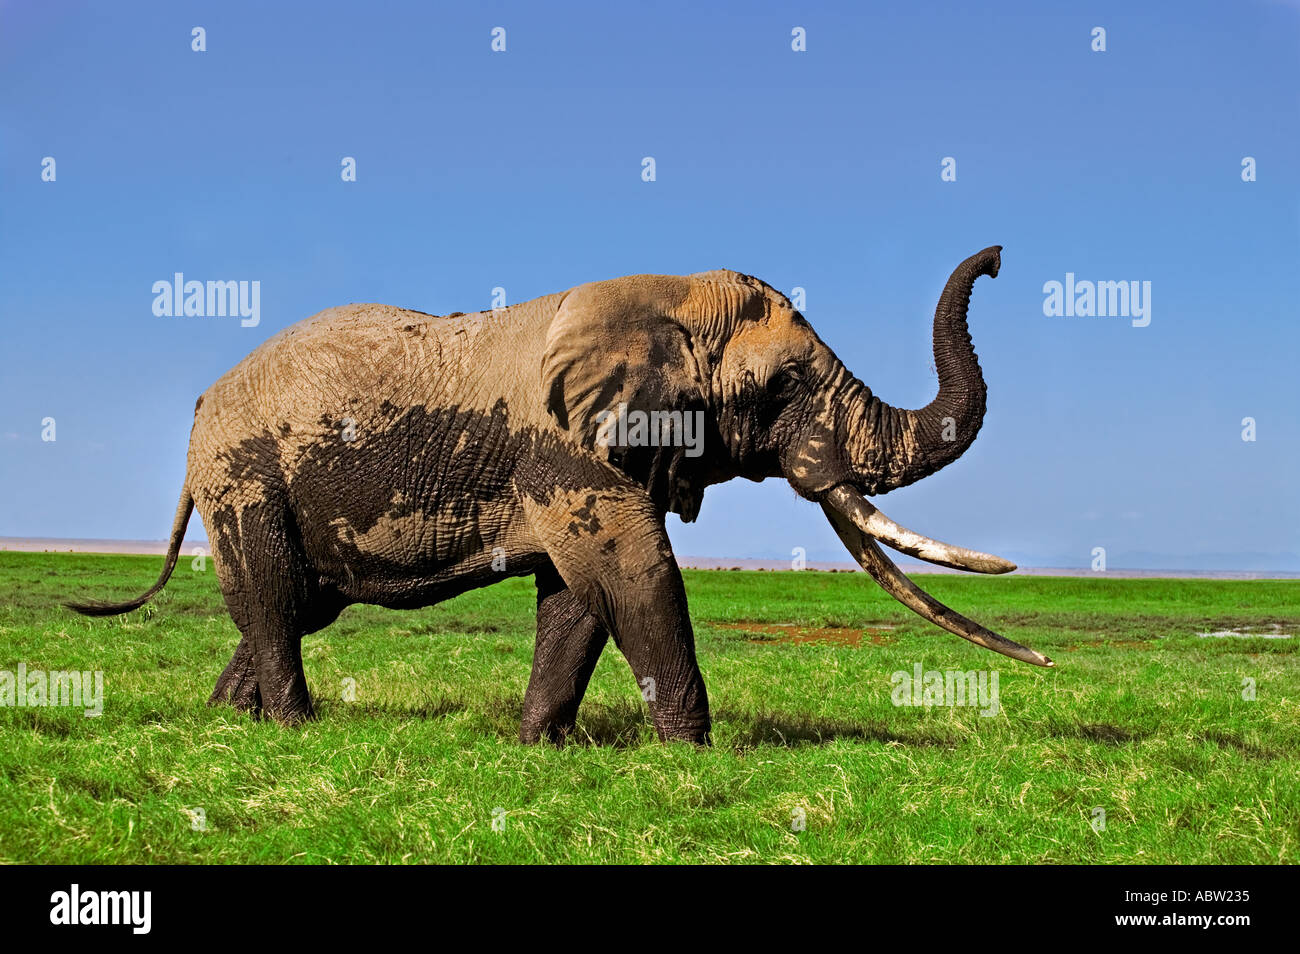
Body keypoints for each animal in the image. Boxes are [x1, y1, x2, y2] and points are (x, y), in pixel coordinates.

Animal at [65, 245, 1052, 744]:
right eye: (780, 388)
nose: (1000, 258)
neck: (661, 300)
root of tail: (203, 401)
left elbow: (578, 598)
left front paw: (541, 746)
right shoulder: (568, 450)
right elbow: (637, 577)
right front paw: (693, 756)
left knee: (297, 604)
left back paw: (230, 721)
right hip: (245, 477)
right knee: (274, 603)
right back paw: (298, 731)